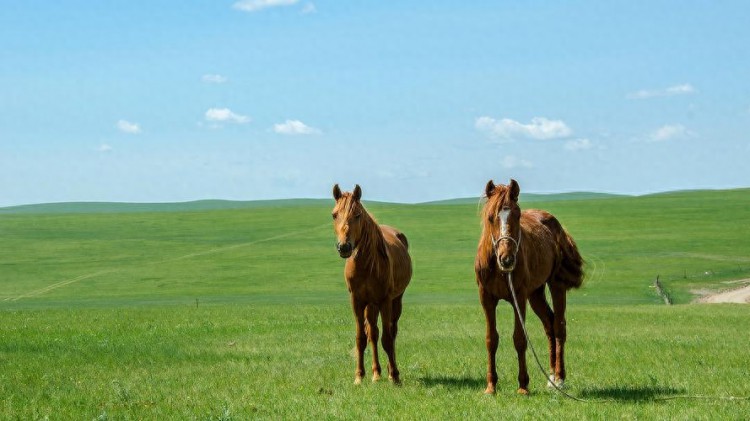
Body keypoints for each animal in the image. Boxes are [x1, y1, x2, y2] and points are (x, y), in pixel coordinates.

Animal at [334, 184, 414, 384]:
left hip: (395, 301)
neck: (366, 265)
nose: (344, 247)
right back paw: (376, 373)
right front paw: (359, 376)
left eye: (357, 215)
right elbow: (361, 337)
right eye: (334, 214)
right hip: (371, 305)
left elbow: (387, 338)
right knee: (373, 332)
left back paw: (391, 370)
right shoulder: (357, 301)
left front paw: (394, 376)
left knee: (391, 331)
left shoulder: (385, 300)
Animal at [476, 179, 588, 396]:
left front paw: (523, 386)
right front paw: (491, 386)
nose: (507, 259)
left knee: (559, 326)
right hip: (535, 294)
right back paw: (551, 377)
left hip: (556, 285)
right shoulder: (486, 298)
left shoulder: (519, 297)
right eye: (491, 217)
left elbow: (520, 339)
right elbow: (491, 339)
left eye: (517, 215)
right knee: (549, 324)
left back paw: (559, 379)